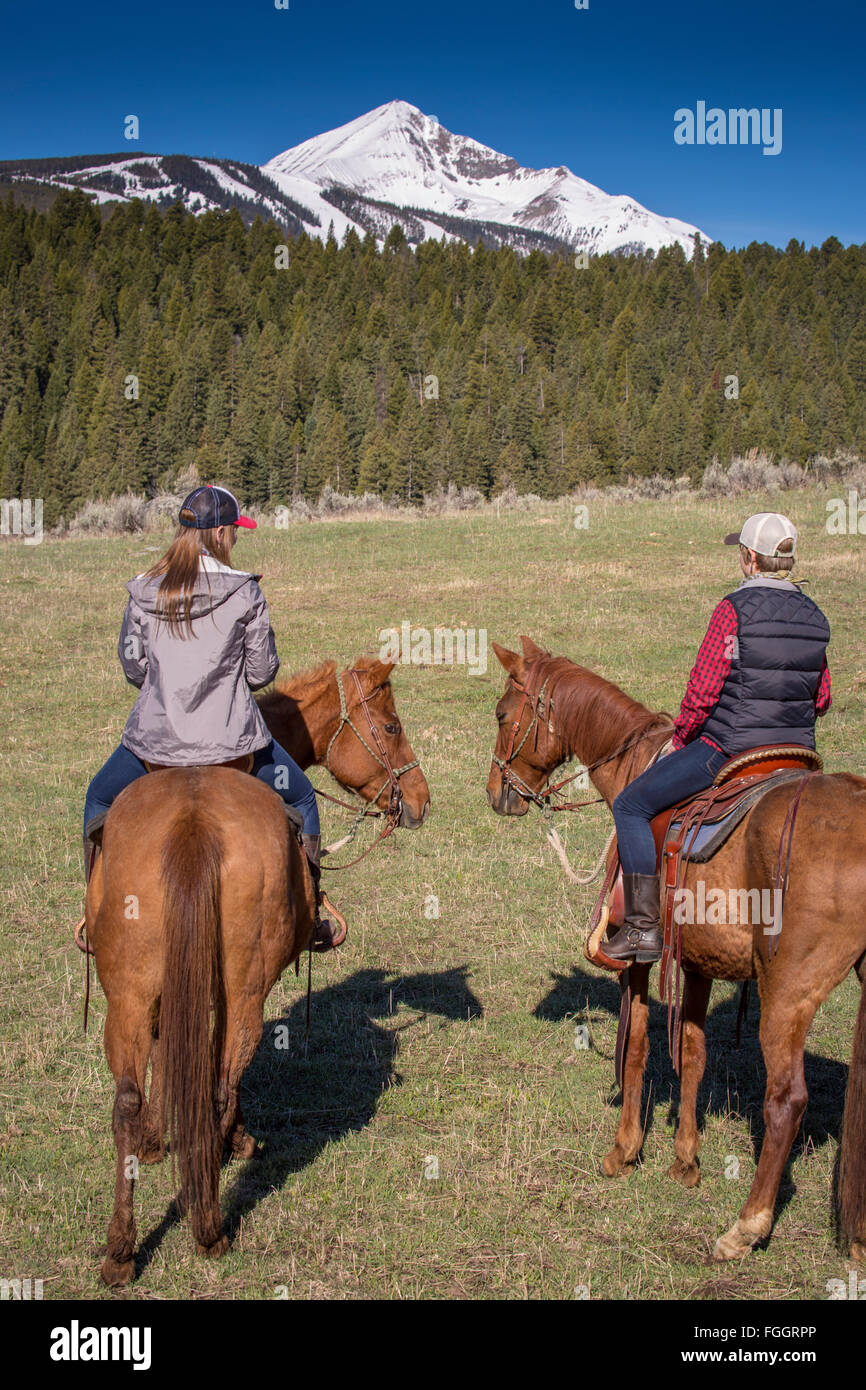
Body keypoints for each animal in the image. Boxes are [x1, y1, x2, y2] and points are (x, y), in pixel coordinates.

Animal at [85, 656, 430, 1286]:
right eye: (392, 727)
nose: (419, 799)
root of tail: (192, 821)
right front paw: (229, 1143)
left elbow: (171, 1050)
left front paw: (159, 1139)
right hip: (247, 990)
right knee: (224, 1078)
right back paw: (208, 1225)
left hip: (128, 992)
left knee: (125, 1101)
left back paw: (121, 1251)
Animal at [486, 635, 866, 1263]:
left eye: (500, 714)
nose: (496, 794)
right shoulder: (698, 962)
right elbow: (692, 1051)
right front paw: (685, 1160)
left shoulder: (638, 962)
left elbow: (638, 1046)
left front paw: (624, 1151)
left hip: (788, 993)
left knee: (786, 1100)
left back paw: (746, 1226)